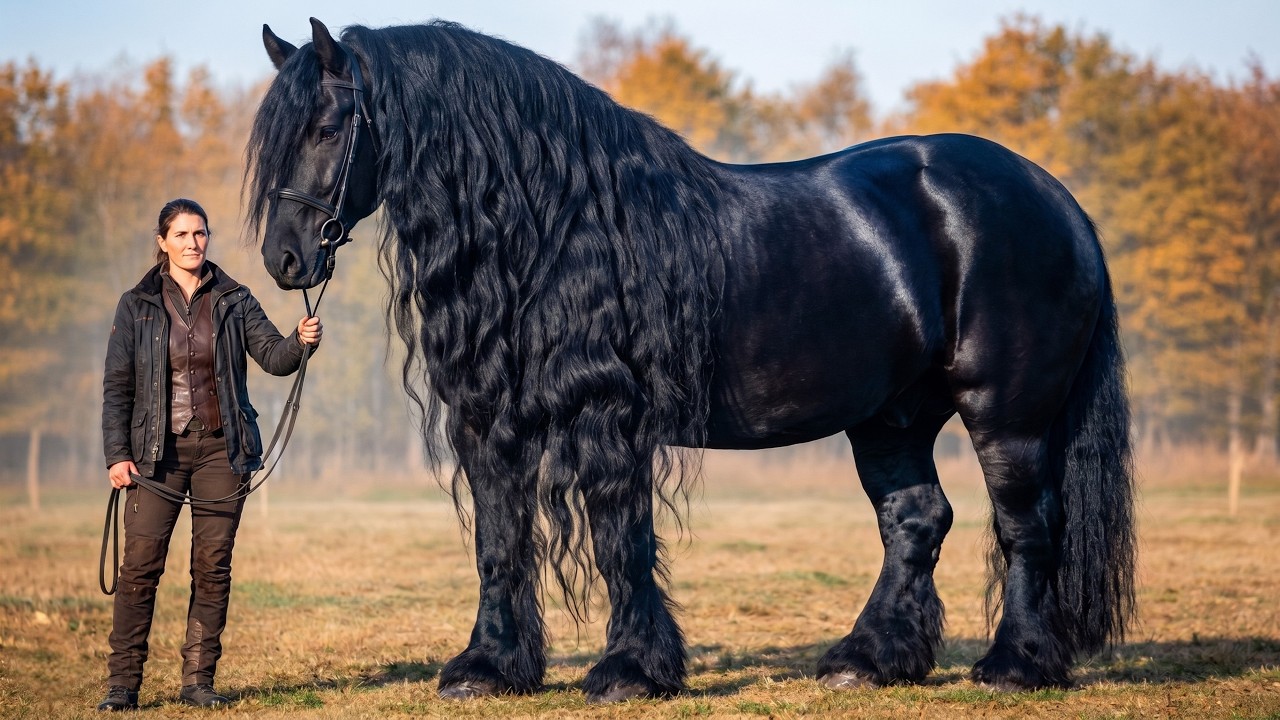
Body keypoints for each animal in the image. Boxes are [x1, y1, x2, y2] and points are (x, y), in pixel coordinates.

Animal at [246, 18, 1136, 703]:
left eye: (328, 128)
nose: (284, 260)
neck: (553, 224)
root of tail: (1055, 197)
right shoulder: (490, 426)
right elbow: (500, 542)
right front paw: (488, 669)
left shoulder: (607, 419)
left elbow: (622, 542)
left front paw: (631, 672)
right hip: (893, 418)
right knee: (916, 520)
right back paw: (867, 661)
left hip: (1005, 415)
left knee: (1026, 525)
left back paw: (1015, 664)